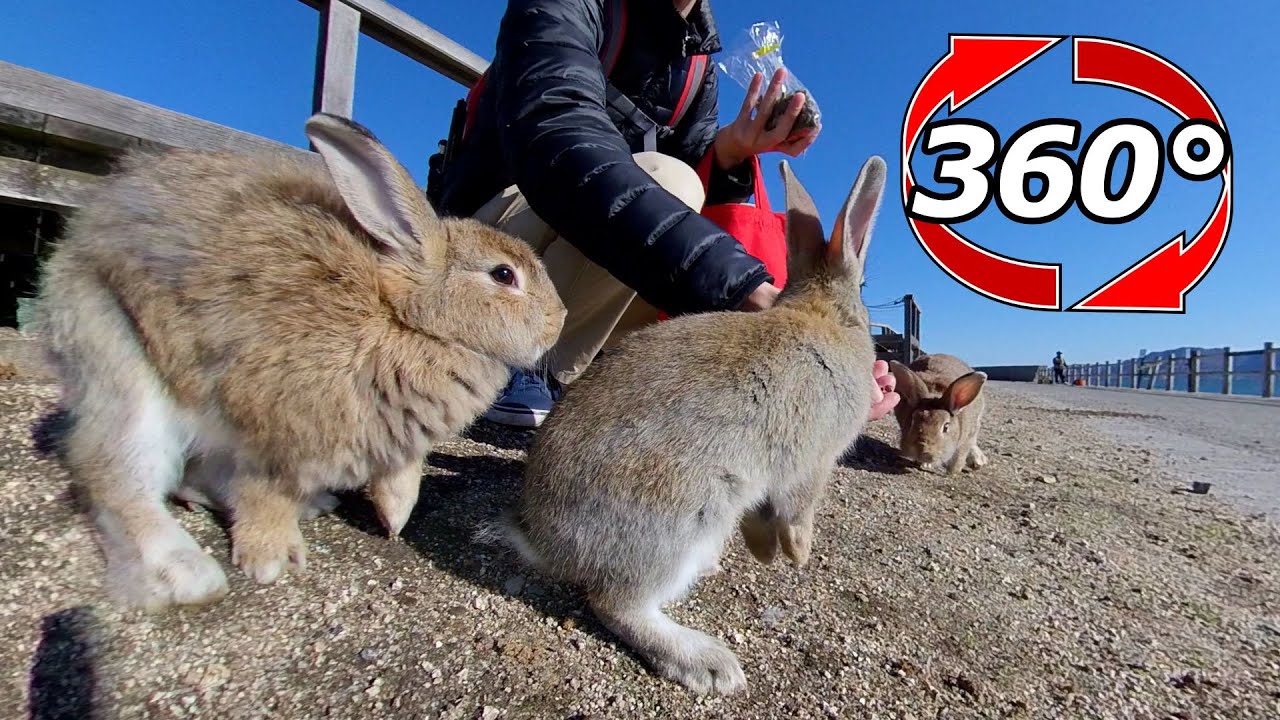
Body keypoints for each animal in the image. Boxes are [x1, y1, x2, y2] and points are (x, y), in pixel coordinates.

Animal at [33, 112, 566, 612]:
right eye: (503, 275)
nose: (558, 319)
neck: (405, 321)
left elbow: (400, 480)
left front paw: (394, 521)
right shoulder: (268, 436)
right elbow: (262, 495)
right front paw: (270, 560)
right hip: (125, 367)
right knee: (114, 473)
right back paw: (186, 573)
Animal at [492, 156, 888, 696]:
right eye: (865, 290)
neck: (822, 315)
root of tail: (543, 541)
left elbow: (764, 514)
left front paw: (765, 552)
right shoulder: (812, 460)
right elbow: (798, 510)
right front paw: (799, 554)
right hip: (683, 514)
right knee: (616, 604)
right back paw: (708, 663)